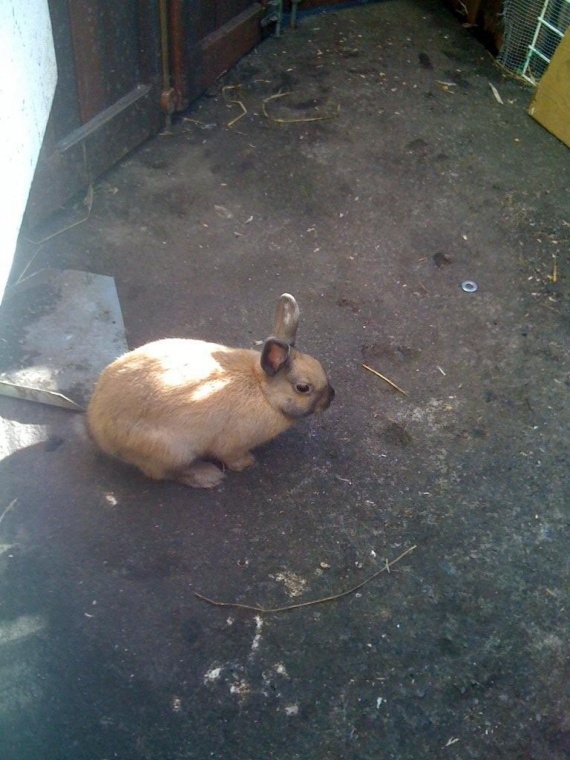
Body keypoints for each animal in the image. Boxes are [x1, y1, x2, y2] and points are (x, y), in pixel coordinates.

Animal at [87, 294, 334, 488]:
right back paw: (208, 476)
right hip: (171, 450)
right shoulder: (232, 444)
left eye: (319, 365)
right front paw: (247, 463)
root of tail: (99, 431)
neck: (263, 389)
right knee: (164, 472)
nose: (331, 398)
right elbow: (231, 457)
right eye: (303, 388)